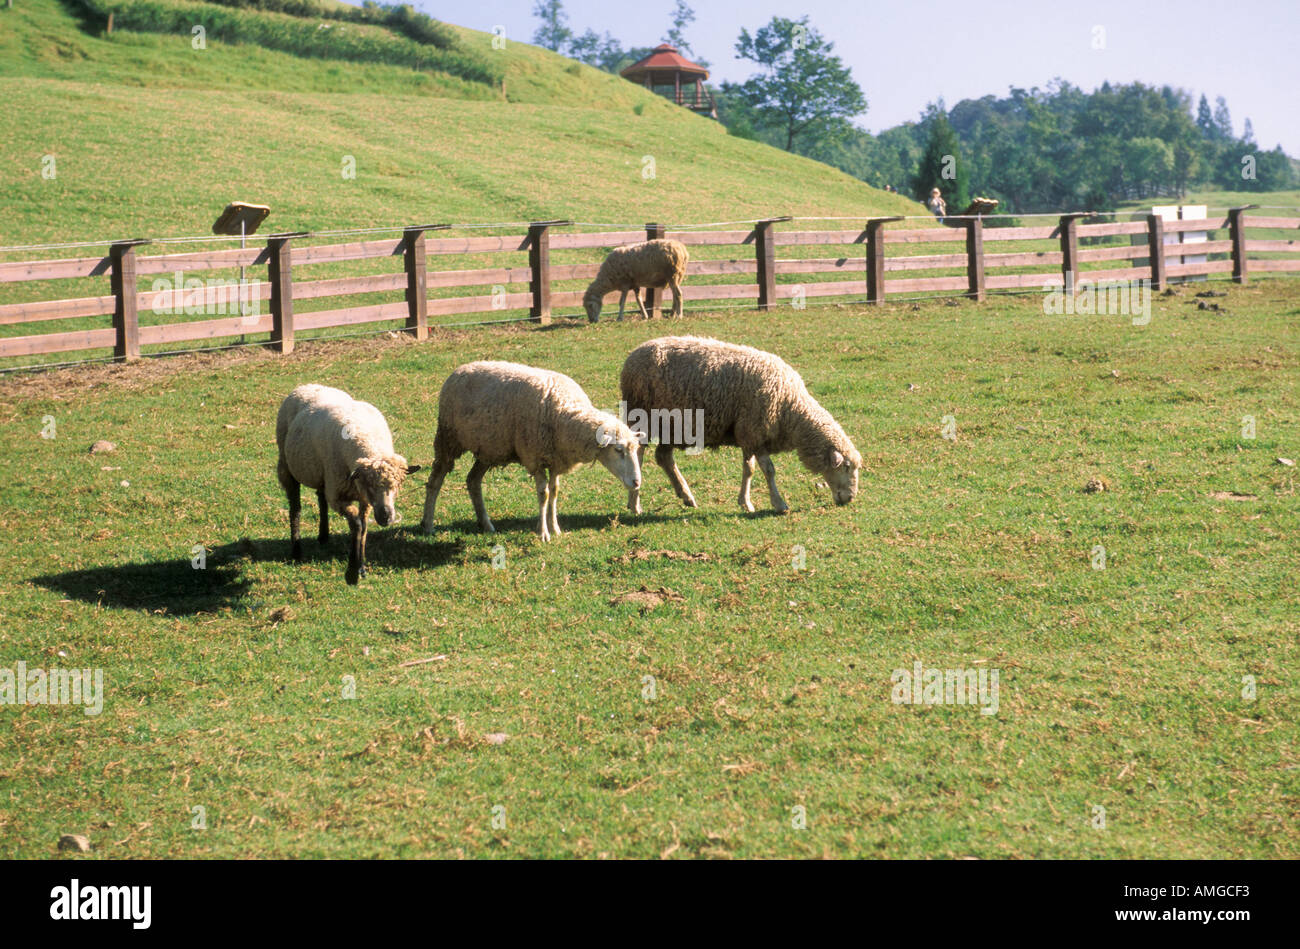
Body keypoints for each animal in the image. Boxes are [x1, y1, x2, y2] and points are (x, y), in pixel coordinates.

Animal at [276, 383, 420, 585]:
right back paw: (296, 550)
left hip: (322, 474)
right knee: (295, 507)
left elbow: (364, 527)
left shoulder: (363, 498)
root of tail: (309, 385)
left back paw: (323, 536)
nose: (386, 517)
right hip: (287, 465)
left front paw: (361, 566)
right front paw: (352, 570)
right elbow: (356, 525)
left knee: (321, 498)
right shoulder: (339, 496)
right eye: (369, 485)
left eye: (398, 485)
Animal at [419, 361, 642, 542]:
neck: (565, 414)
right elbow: (543, 494)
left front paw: (555, 528)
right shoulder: (536, 458)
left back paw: (486, 524)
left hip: (488, 449)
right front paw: (543, 533)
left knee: (473, 480)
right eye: (618, 449)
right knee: (435, 480)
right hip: (448, 439)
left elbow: (554, 492)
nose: (637, 482)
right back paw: (428, 524)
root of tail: (460, 369)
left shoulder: (555, 460)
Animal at [619, 336, 863, 515]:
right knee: (638, 454)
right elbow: (769, 470)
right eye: (845, 467)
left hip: (671, 426)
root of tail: (633, 355)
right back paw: (635, 504)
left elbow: (749, 469)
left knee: (664, 457)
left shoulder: (749, 435)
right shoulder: (754, 431)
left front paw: (746, 502)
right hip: (643, 416)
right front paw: (779, 503)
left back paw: (687, 496)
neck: (791, 408)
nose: (850, 499)